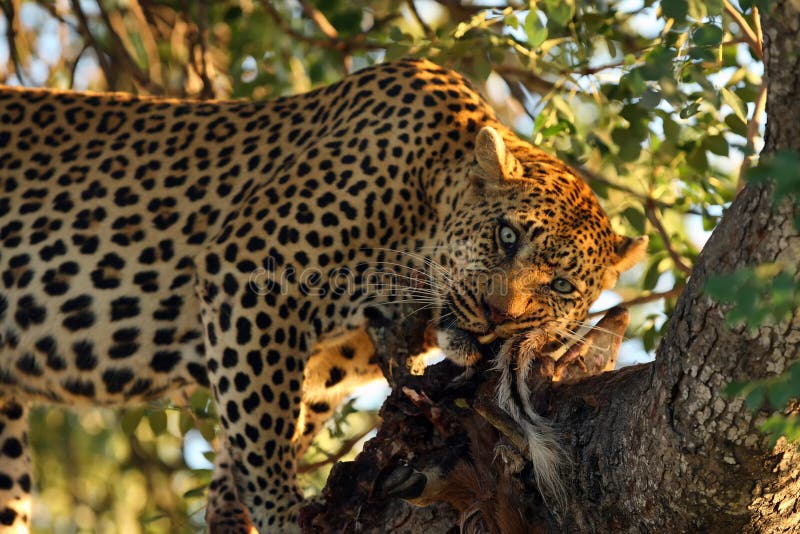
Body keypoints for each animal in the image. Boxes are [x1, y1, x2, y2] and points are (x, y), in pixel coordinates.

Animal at [0, 57, 647, 533]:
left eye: (561, 286)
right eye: (506, 236)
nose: (495, 316)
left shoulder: (330, 359)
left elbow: (257, 429)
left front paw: (232, 512)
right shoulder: (251, 269)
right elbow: (262, 427)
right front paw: (284, 512)